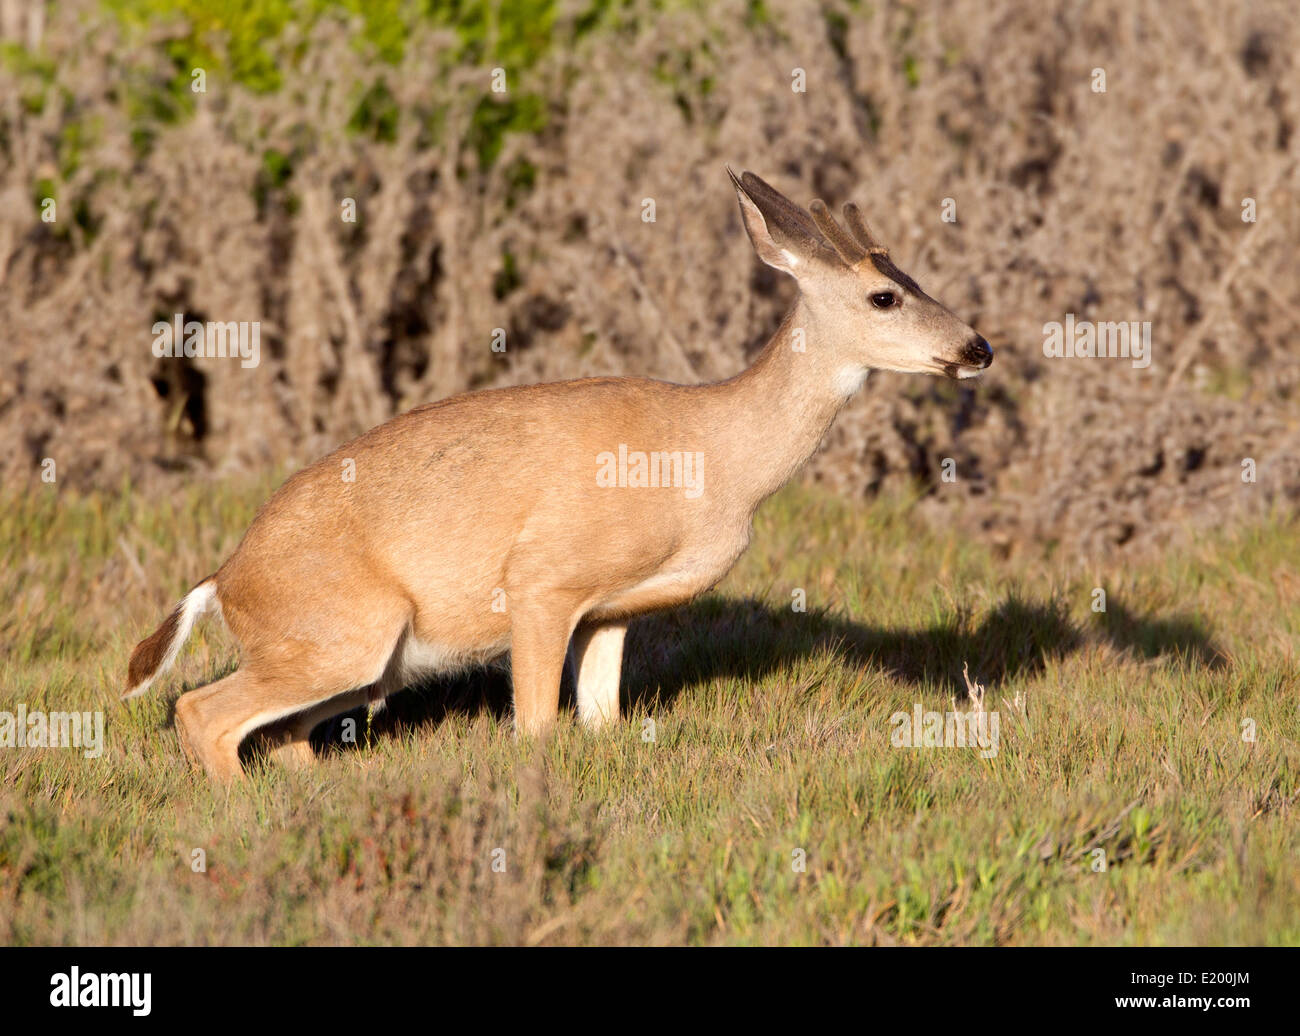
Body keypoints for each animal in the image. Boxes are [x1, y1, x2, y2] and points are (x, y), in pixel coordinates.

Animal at [123, 169, 993, 782]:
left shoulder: (609, 609)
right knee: (200, 711)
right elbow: (535, 727)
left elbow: (602, 720)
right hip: (345, 633)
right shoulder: (543, 578)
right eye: (883, 296)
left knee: (282, 736)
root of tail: (223, 579)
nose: (978, 347)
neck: (714, 458)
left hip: (361, 661)